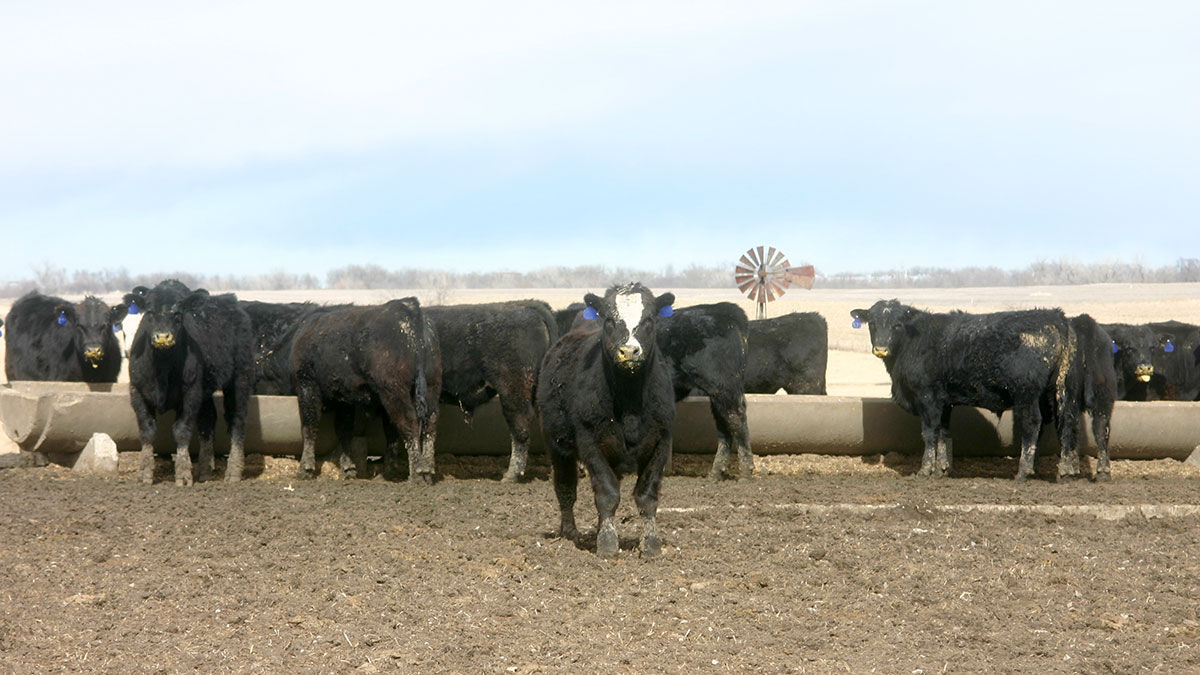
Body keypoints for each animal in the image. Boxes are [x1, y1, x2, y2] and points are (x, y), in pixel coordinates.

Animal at [128, 280, 255, 485]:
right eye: (149, 312)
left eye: (178, 313)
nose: (163, 337)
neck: (162, 367)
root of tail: (230, 300)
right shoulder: (137, 392)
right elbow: (147, 430)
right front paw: (145, 473)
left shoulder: (191, 393)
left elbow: (181, 430)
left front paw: (183, 475)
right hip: (206, 390)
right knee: (208, 420)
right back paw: (204, 470)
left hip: (241, 378)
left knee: (237, 420)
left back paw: (233, 472)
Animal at [289, 298, 441, 483]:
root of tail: (408, 307)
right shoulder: (343, 398)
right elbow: (344, 429)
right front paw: (348, 468)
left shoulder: (307, 385)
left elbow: (310, 425)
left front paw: (306, 468)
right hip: (431, 386)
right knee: (428, 424)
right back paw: (424, 471)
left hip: (394, 391)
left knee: (409, 423)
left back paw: (416, 475)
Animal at [538, 282, 676, 558]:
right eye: (611, 320)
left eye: (649, 320)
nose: (629, 351)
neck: (630, 399)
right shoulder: (590, 443)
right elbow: (607, 493)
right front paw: (608, 544)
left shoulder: (661, 441)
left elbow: (647, 495)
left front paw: (651, 543)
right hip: (556, 445)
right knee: (565, 488)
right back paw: (570, 532)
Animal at [653, 302, 754, 480]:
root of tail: (724, 309)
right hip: (717, 394)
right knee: (724, 427)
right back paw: (716, 474)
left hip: (723, 387)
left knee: (736, 418)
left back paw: (746, 472)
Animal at [850, 300, 1079, 481]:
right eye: (872, 323)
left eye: (897, 325)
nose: (881, 349)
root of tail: (1054, 315)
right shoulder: (944, 402)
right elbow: (944, 433)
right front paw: (941, 470)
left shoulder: (927, 397)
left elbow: (929, 433)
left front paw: (925, 471)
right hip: (1056, 391)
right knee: (1065, 422)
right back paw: (1061, 472)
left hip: (1027, 393)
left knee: (1032, 425)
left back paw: (1023, 472)